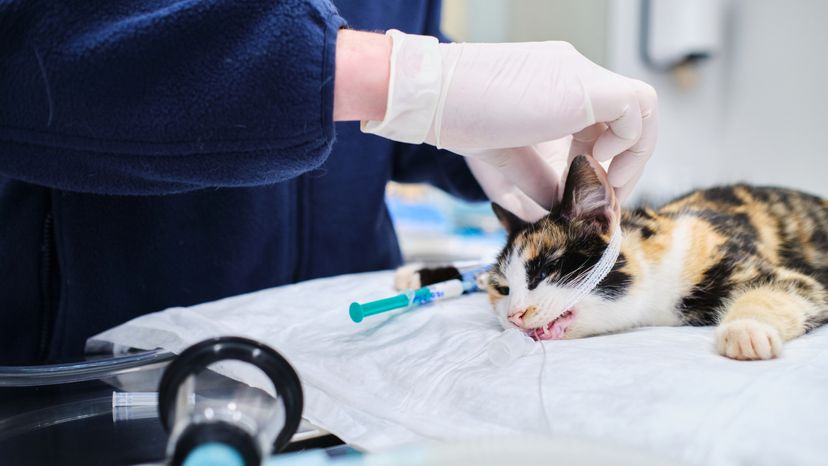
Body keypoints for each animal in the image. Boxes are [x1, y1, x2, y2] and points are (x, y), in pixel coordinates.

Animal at [396, 155, 828, 362]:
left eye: (545, 268)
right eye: (502, 289)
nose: (515, 315)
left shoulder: (785, 273)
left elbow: (783, 286)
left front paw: (745, 330)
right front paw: (417, 273)